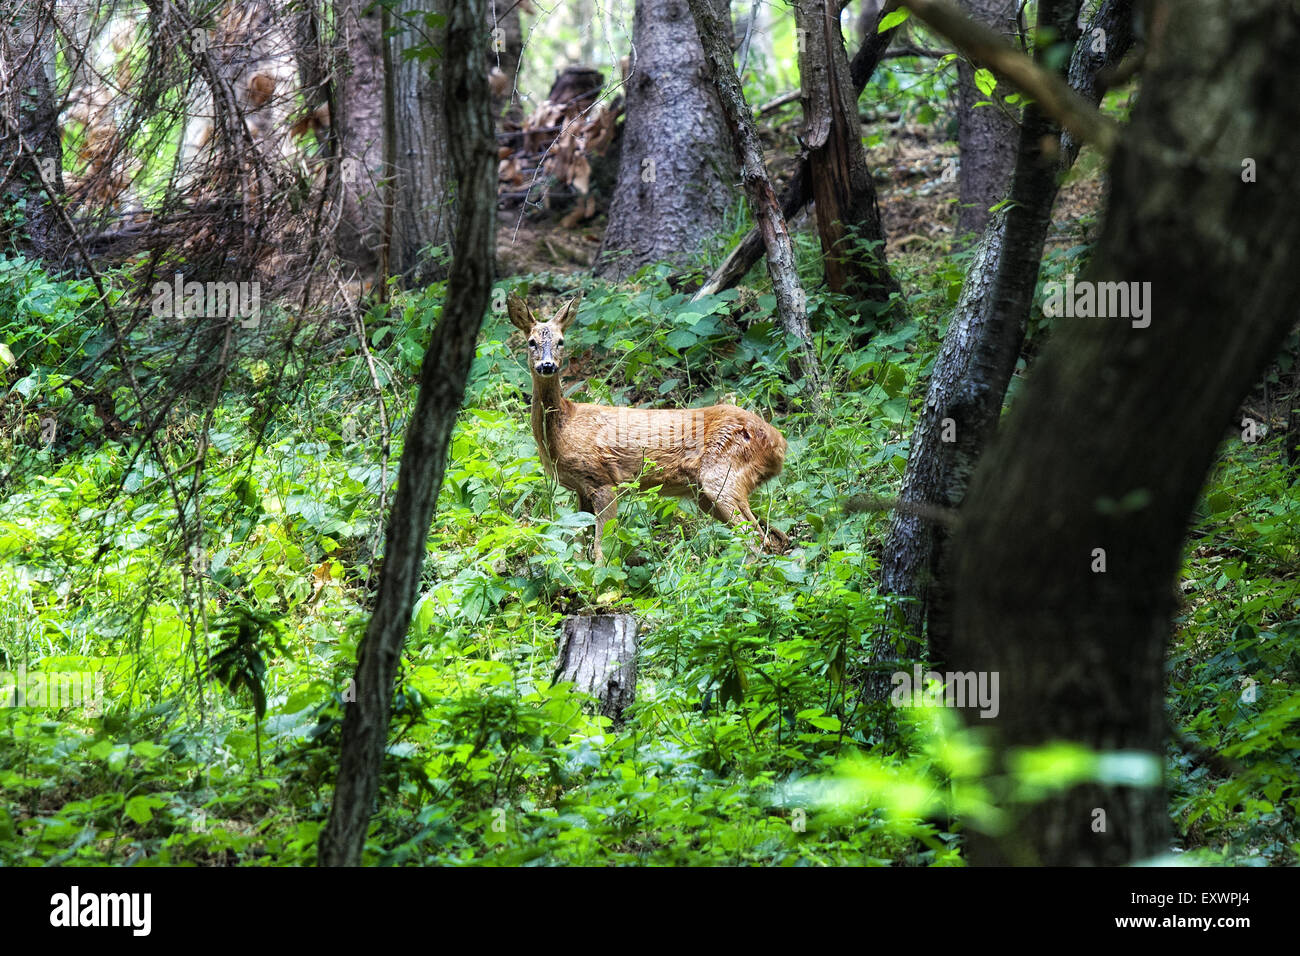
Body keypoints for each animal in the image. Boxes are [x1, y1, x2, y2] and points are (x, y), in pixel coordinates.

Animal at [508, 292, 789, 562]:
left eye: (561, 341)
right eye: (531, 342)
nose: (547, 365)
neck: (562, 428)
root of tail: (779, 443)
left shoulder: (604, 481)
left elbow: (601, 549)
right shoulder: (581, 489)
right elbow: (575, 547)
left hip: (723, 474)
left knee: (755, 539)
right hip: (706, 493)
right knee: (773, 537)